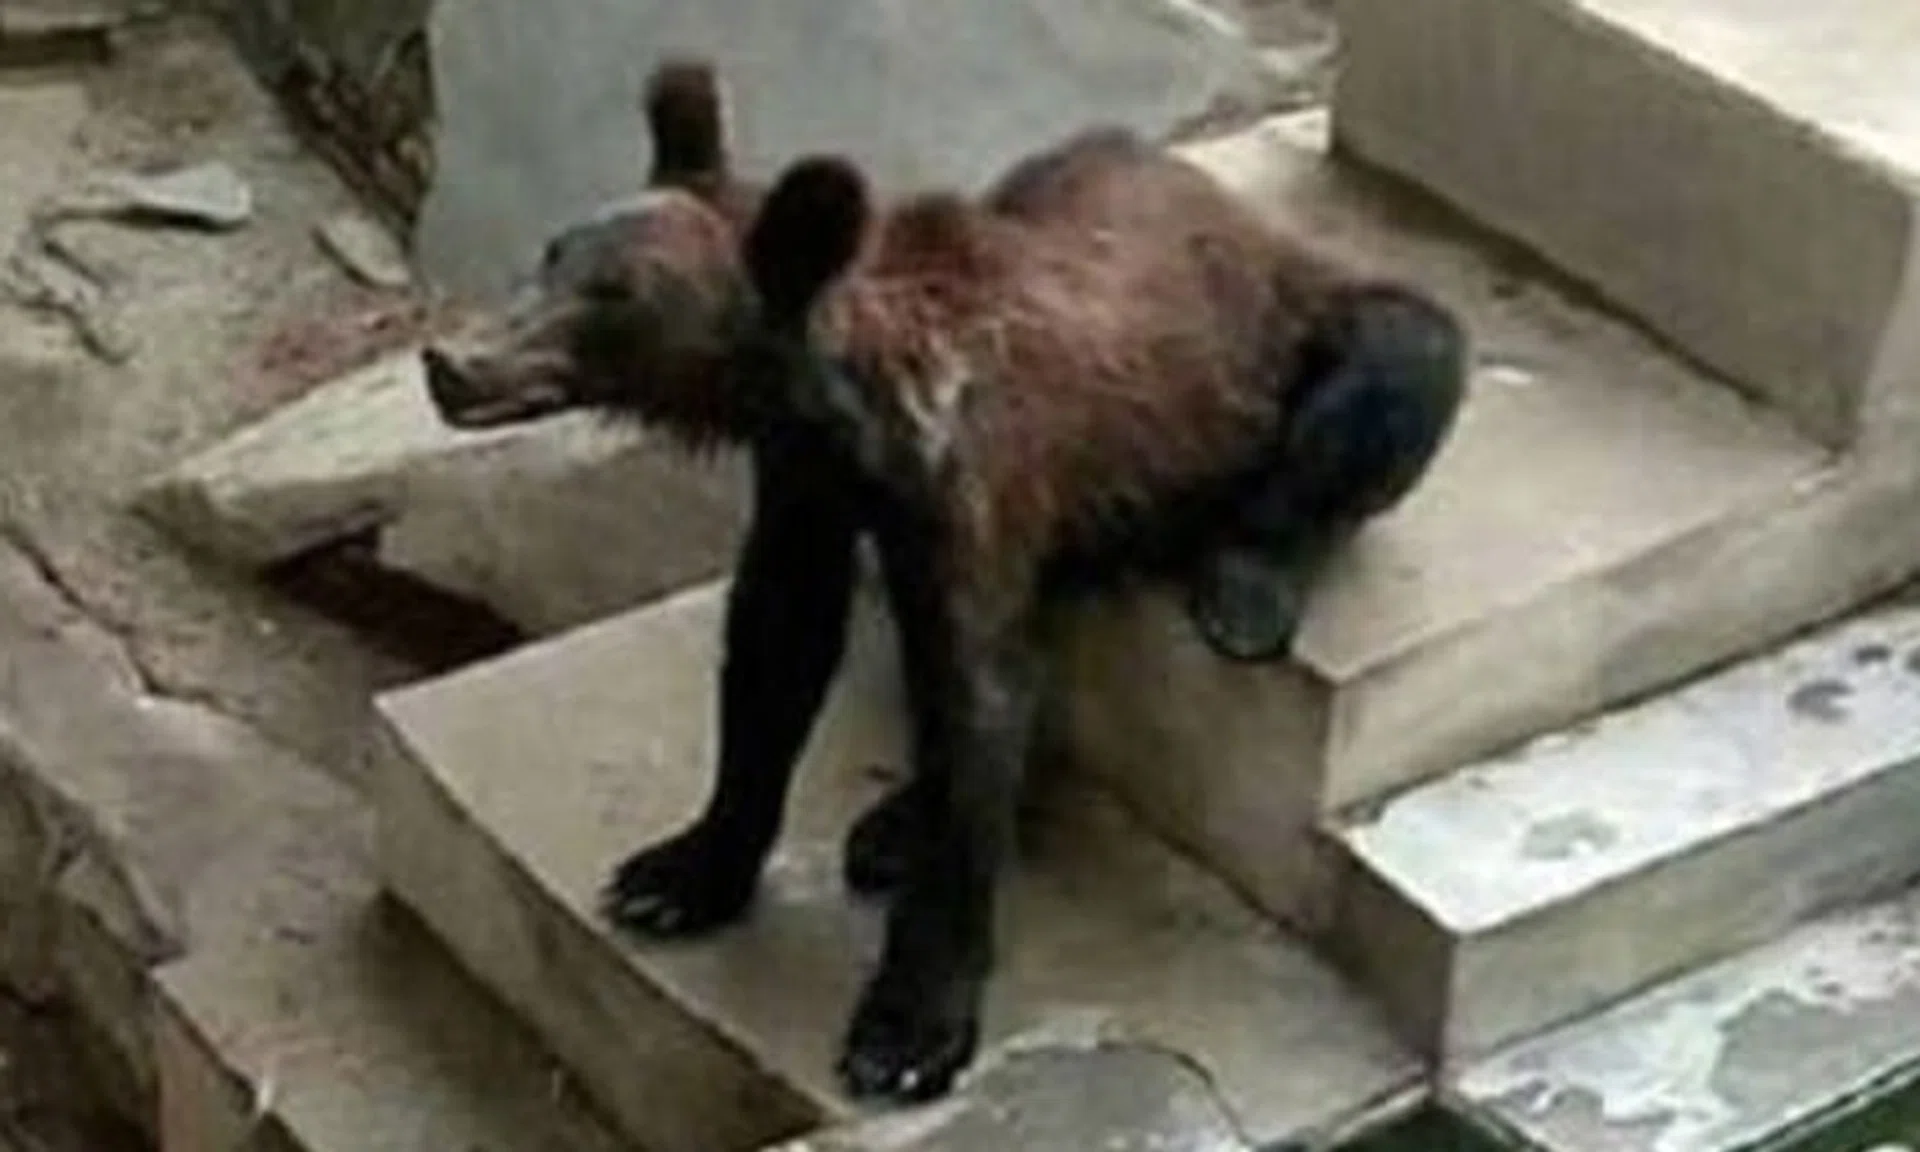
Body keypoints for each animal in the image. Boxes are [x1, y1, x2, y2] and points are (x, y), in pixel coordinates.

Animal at [421, 58, 1467, 1104]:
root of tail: (1243, 213)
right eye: (553, 251)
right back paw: (888, 824)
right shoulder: (810, 483)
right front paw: (679, 873)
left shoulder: (974, 499)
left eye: (615, 296)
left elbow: (977, 707)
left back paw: (1244, 588)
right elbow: (776, 647)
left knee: (1395, 365)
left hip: (1297, 343)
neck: (856, 415)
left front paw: (907, 1030)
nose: (451, 362)